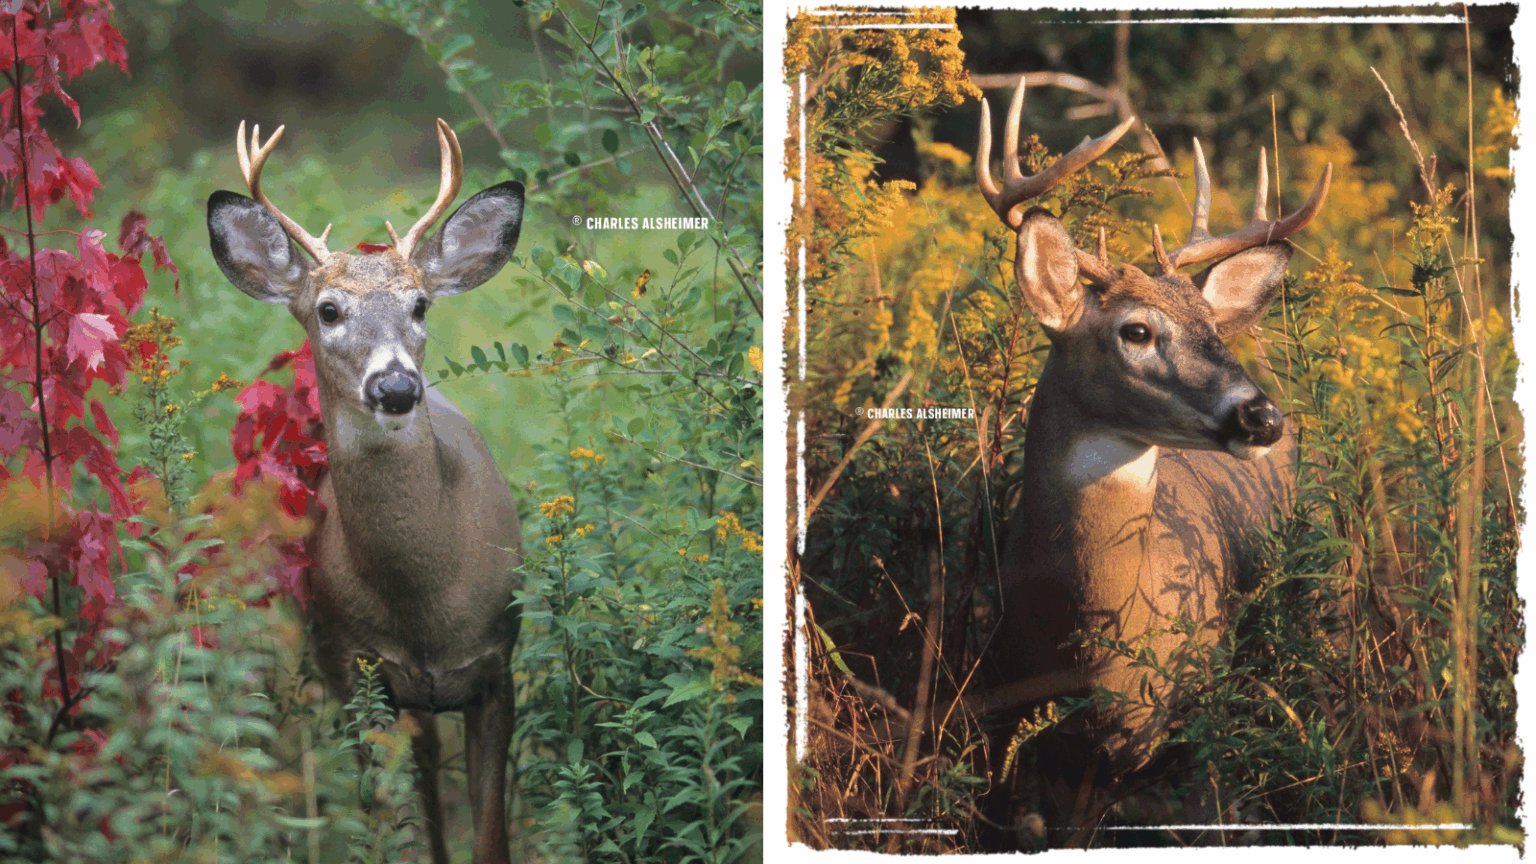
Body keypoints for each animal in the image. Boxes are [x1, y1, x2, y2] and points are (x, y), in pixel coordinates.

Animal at [206, 119, 526, 864]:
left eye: (420, 304)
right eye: (327, 310)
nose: (397, 385)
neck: (427, 606)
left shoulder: (498, 668)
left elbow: (490, 838)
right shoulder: (360, 675)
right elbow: (389, 829)